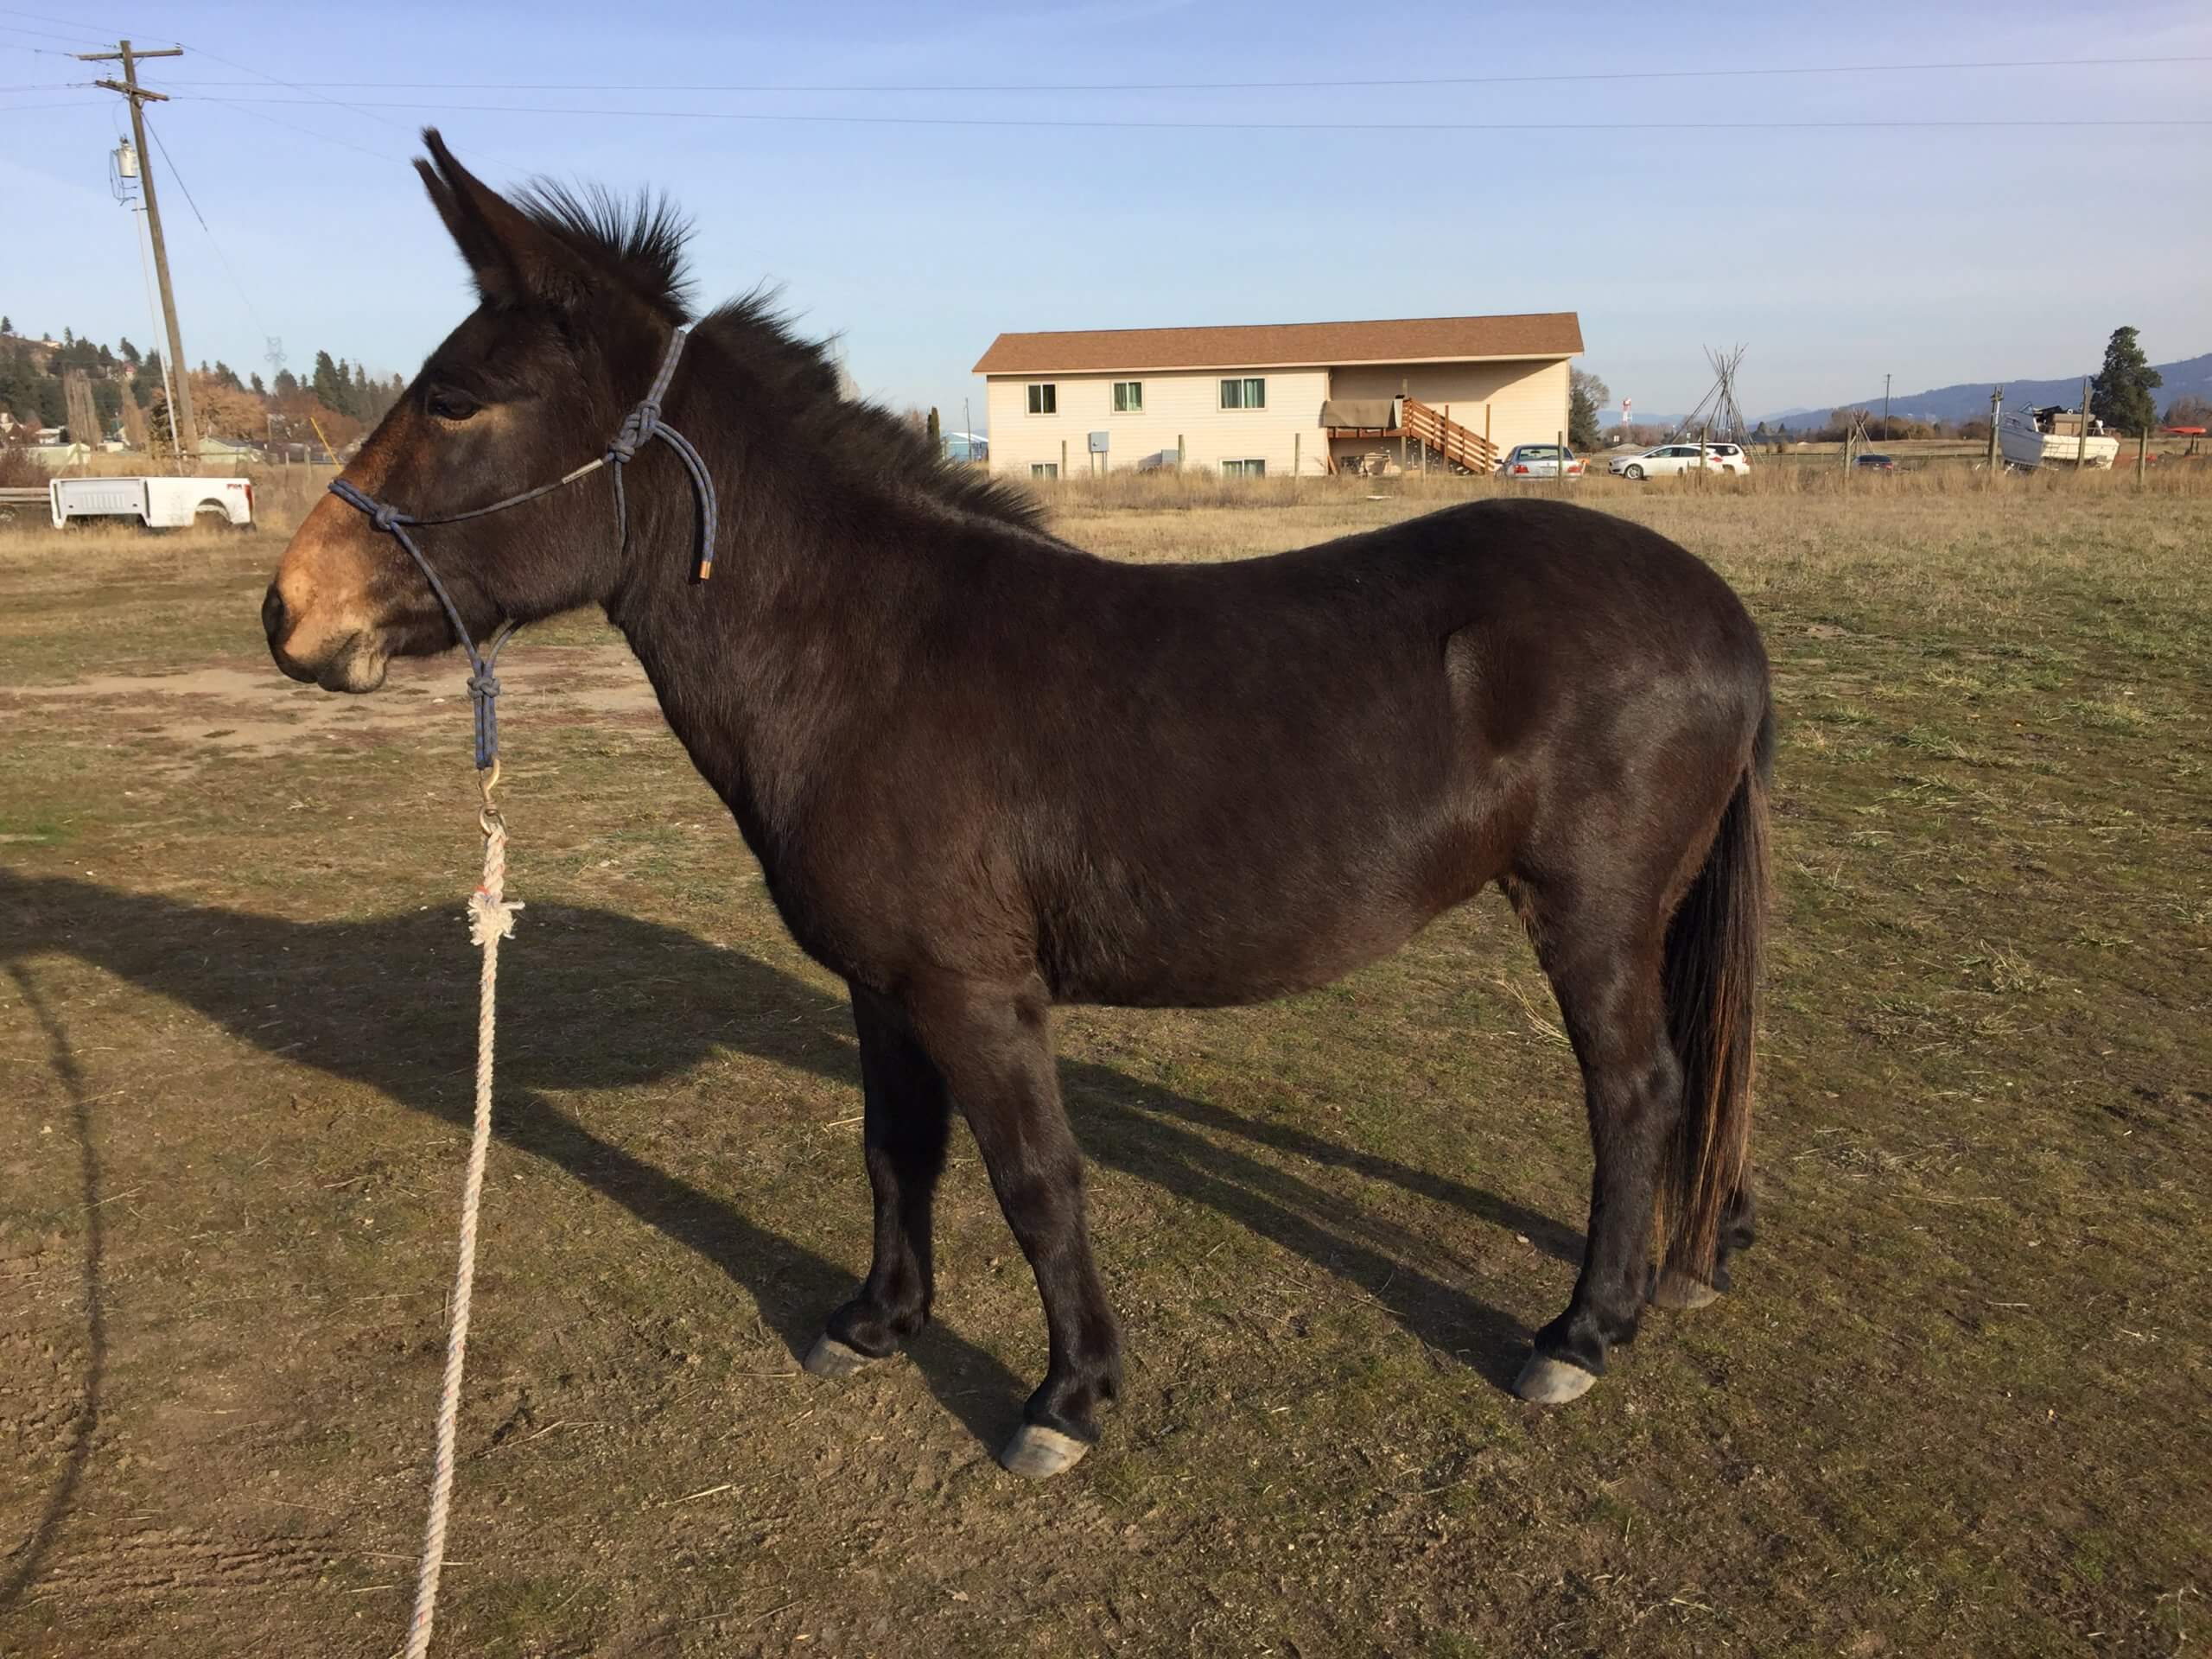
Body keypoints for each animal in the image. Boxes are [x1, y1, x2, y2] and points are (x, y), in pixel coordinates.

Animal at [262, 132, 1773, 1479]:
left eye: (459, 400)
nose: (288, 614)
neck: (865, 659)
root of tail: (1718, 613)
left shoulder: (975, 991)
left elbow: (1038, 1184)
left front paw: (1068, 1399)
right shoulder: (883, 985)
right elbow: (896, 1153)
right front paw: (877, 1325)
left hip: (1593, 914)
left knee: (1637, 1091)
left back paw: (1582, 1331)